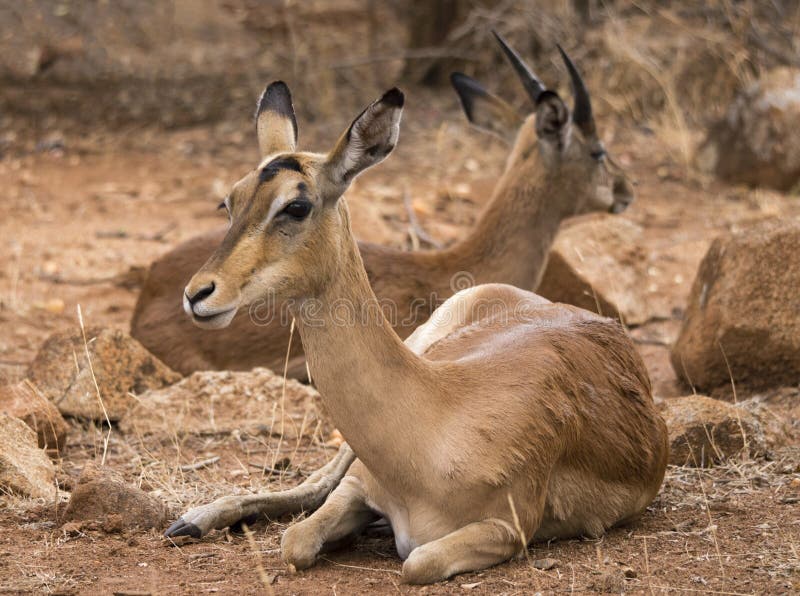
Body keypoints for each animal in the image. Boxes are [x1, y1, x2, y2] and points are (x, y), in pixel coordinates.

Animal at [165, 59, 668, 583]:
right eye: (229, 202)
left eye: (296, 205)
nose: (198, 294)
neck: (436, 418)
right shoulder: (358, 486)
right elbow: (297, 539)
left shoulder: (507, 530)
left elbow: (416, 562)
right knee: (317, 482)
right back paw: (190, 520)